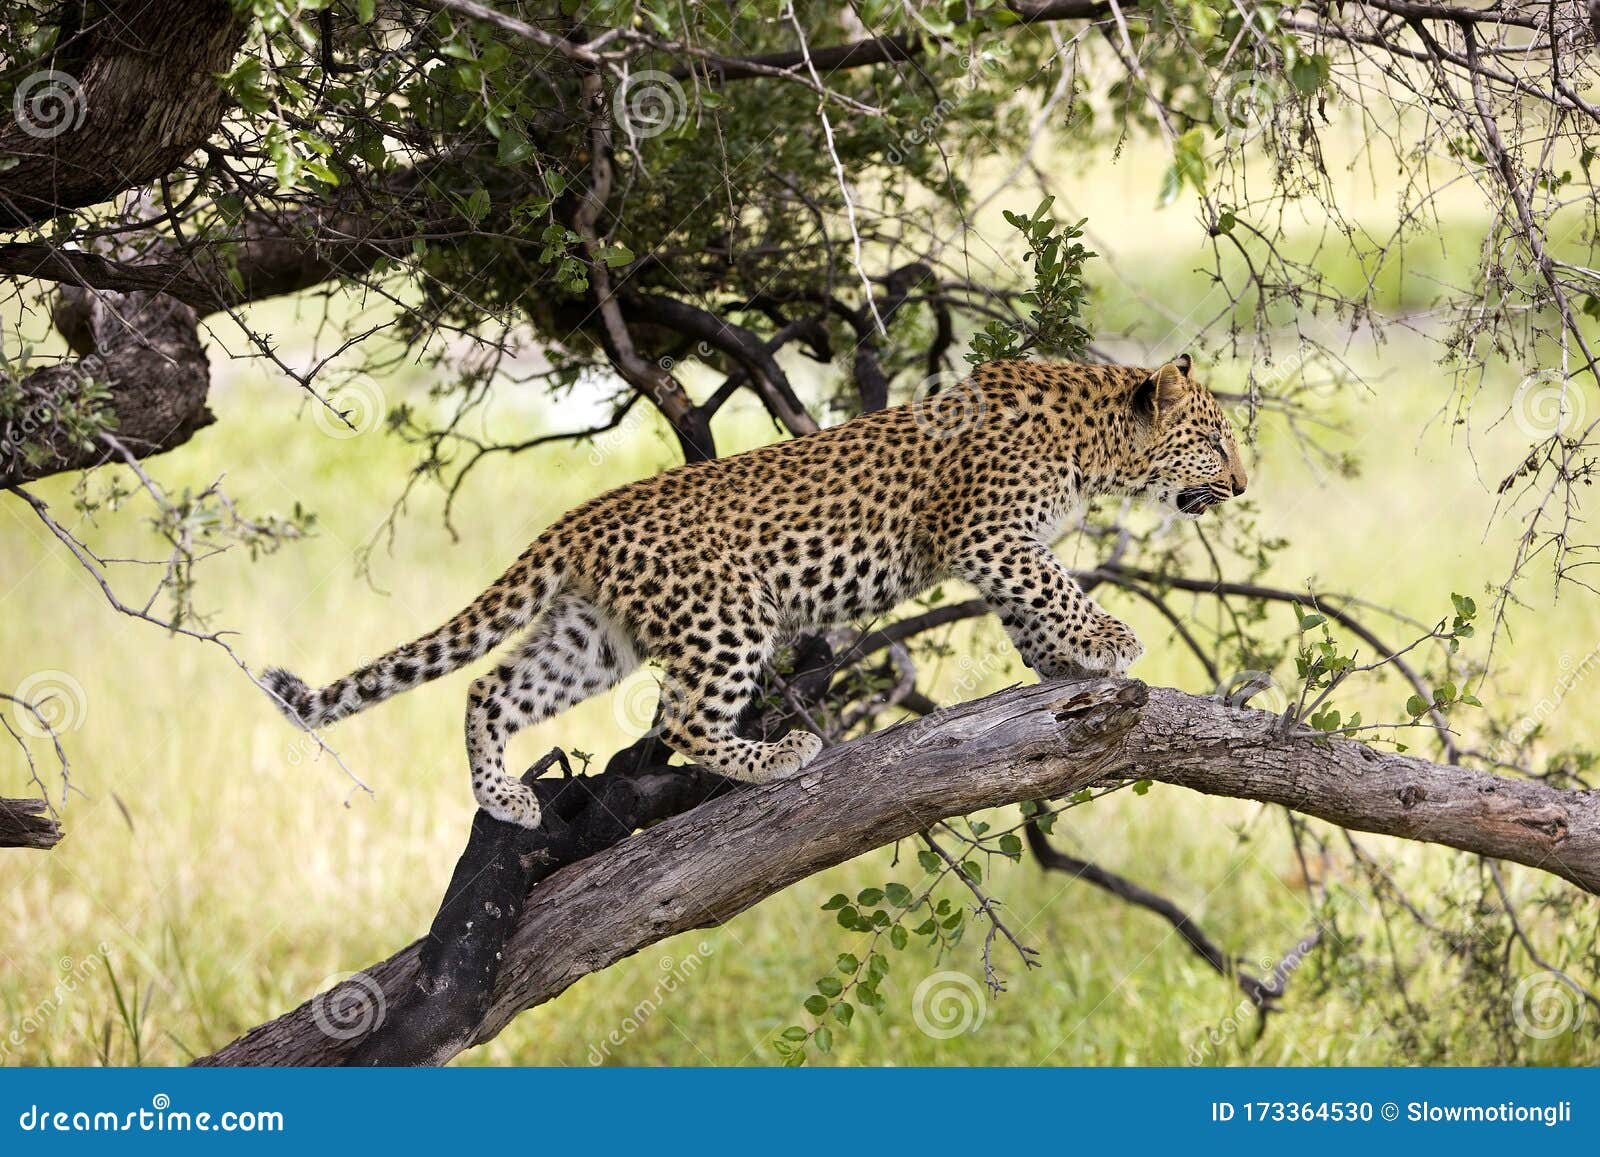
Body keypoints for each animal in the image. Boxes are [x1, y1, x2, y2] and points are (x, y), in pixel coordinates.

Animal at [263, 355, 1247, 829]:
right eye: (1213, 439)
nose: (1242, 484)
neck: (1096, 441)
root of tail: (581, 516)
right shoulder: (981, 531)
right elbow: (1054, 584)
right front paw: (1110, 639)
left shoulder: (1000, 545)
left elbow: (1031, 604)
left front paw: (1064, 664)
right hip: (727, 615)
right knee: (684, 718)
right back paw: (779, 756)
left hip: (593, 637)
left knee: (488, 688)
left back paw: (505, 800)